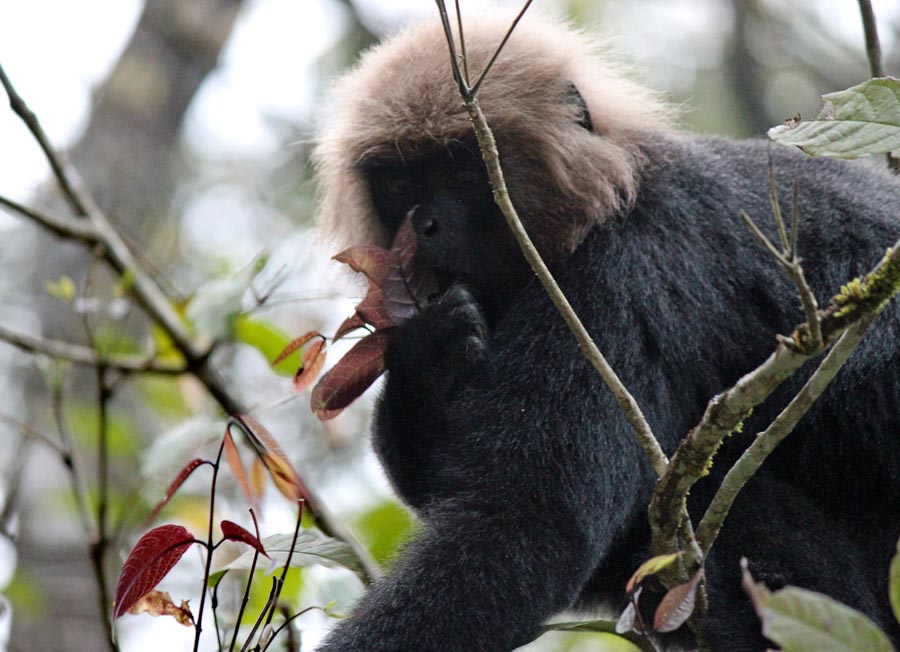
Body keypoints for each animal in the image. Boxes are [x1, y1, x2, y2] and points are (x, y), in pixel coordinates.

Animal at [312, 12, 900, 652]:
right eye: (398, 185)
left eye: (464, 172)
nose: (425, 224)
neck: (597, 210)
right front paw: (428, 359)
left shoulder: (623, 271)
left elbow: (527, 525)